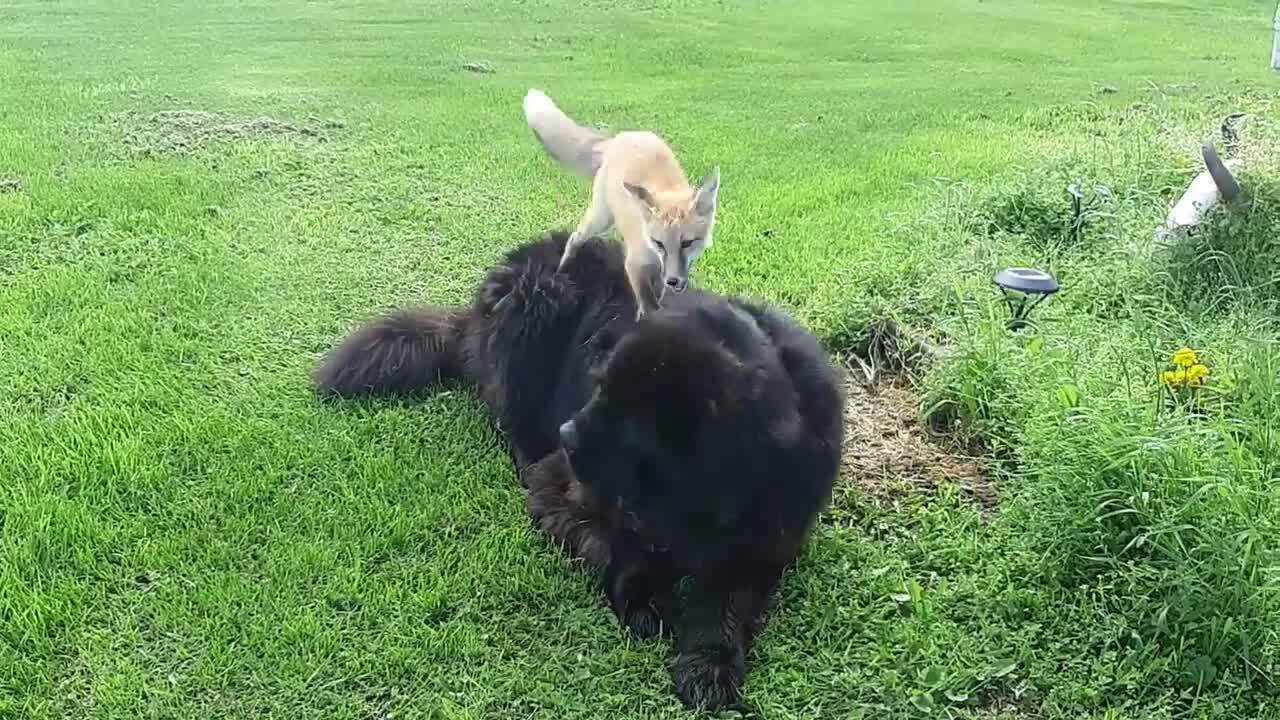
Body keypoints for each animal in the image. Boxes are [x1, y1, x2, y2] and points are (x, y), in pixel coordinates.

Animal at [522, 88, 721, 320]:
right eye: (659, 243)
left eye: (687, 243)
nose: (674, 281)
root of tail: (620, 137)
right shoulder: (634, 265)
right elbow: (650, 306)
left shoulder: (659, 275)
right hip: (600, 219)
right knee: (573, 238)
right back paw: (562, 268)